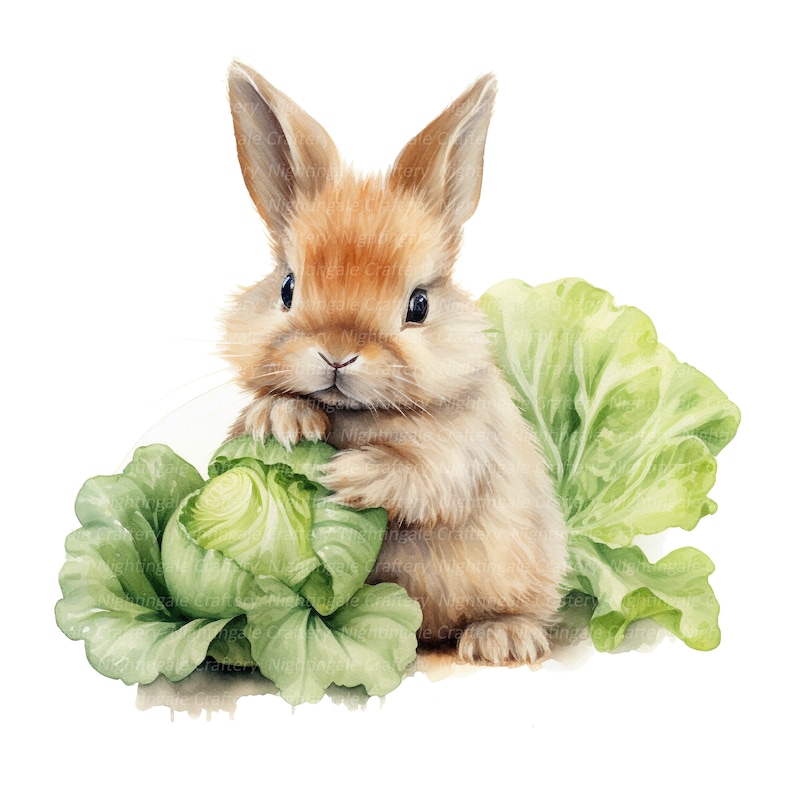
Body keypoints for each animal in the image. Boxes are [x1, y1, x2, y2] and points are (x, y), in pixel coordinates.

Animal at [222, 61, 569, 665]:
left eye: (418, 305)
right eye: (287, 288)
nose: (337, 354)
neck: (358, 415)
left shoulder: (461, 452)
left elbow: (427, 479)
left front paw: (349, 473)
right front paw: (283, 420)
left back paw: (501, 639)